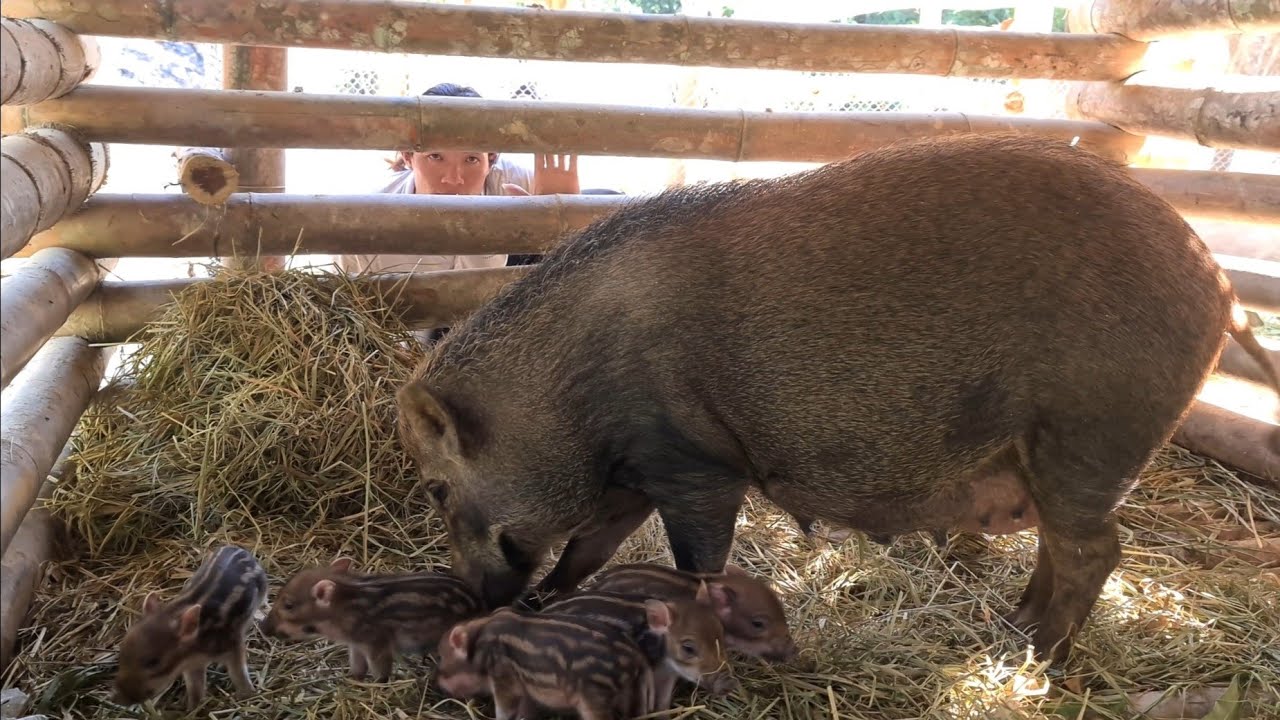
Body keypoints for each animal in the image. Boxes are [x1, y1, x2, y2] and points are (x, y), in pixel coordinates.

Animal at [113, 544, 267, 711]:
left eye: (153, 662)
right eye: (122, 653)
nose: (116, 699)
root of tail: (236, 548)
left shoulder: (233, 644)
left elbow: (238, 672)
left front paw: (248, 695)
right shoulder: (193, 665)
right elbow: (195, 688)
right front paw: (191, 709)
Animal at [259, 557, 482, 682]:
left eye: (288, 605)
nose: (262, 627)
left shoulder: (377, 644)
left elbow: (379, 670)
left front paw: (378, 685)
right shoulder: (356, 645)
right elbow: (357, 665)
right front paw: (353, 680)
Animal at [395, 131, 1280, 665]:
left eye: (438, 488)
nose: (474, 600)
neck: (566, 392)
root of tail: (1218, 278)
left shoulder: (697, 463)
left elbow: (694, 560)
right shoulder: (632, 476)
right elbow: (587, 550)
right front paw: (546, 602)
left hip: (1091, 433)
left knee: (1097, 550)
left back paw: (1037, 657)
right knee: (1063, 549)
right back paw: (1013, 626)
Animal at [435, 606, 656, 720]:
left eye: (442, 657)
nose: (439, 685)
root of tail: (635, 656)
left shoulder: (503, 678)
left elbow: (504, 709)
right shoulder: (525, 689)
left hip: (595, 698)